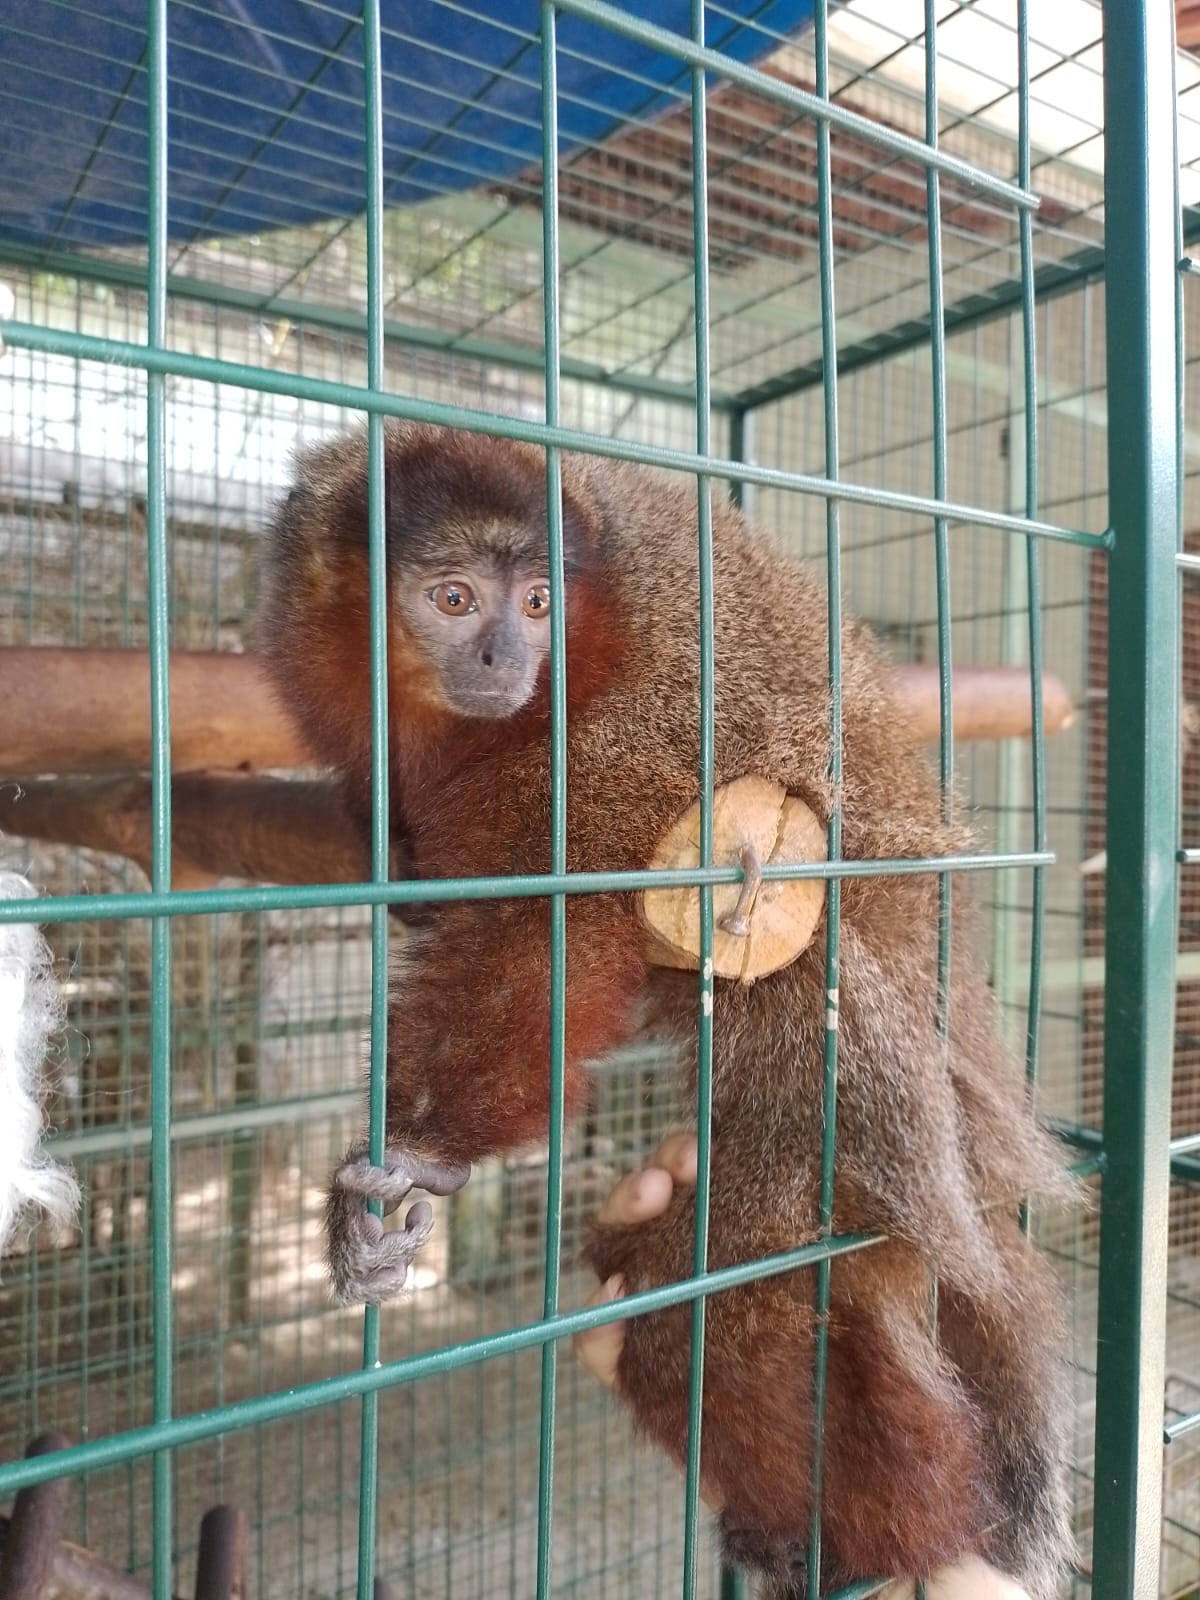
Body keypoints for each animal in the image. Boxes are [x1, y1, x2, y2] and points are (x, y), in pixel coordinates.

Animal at [257, 420, 1078, 1600]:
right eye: (455, 599)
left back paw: (895, 1540)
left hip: (867, 1082)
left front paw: (417, 1157)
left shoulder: (617, 737)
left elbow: (542, 939)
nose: (504, 660)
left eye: (540, 604)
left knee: (711, 1291)